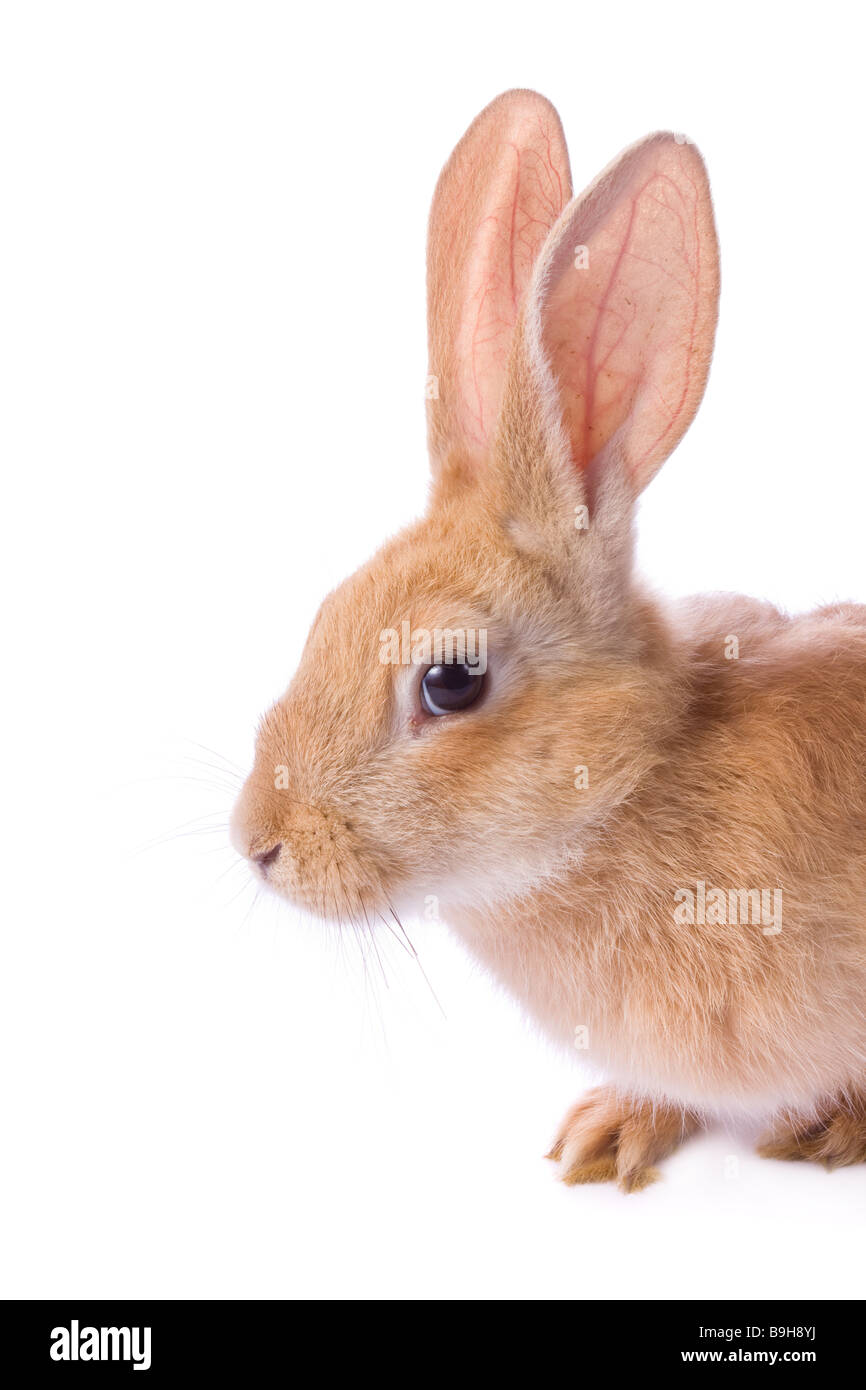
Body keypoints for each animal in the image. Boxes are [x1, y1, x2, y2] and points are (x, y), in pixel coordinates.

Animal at [230, 90, 866, 1190]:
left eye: (449, 682)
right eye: (324, 614)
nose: (258, 842)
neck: (630, 784)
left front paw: (832, 1128)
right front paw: (605, 1134)